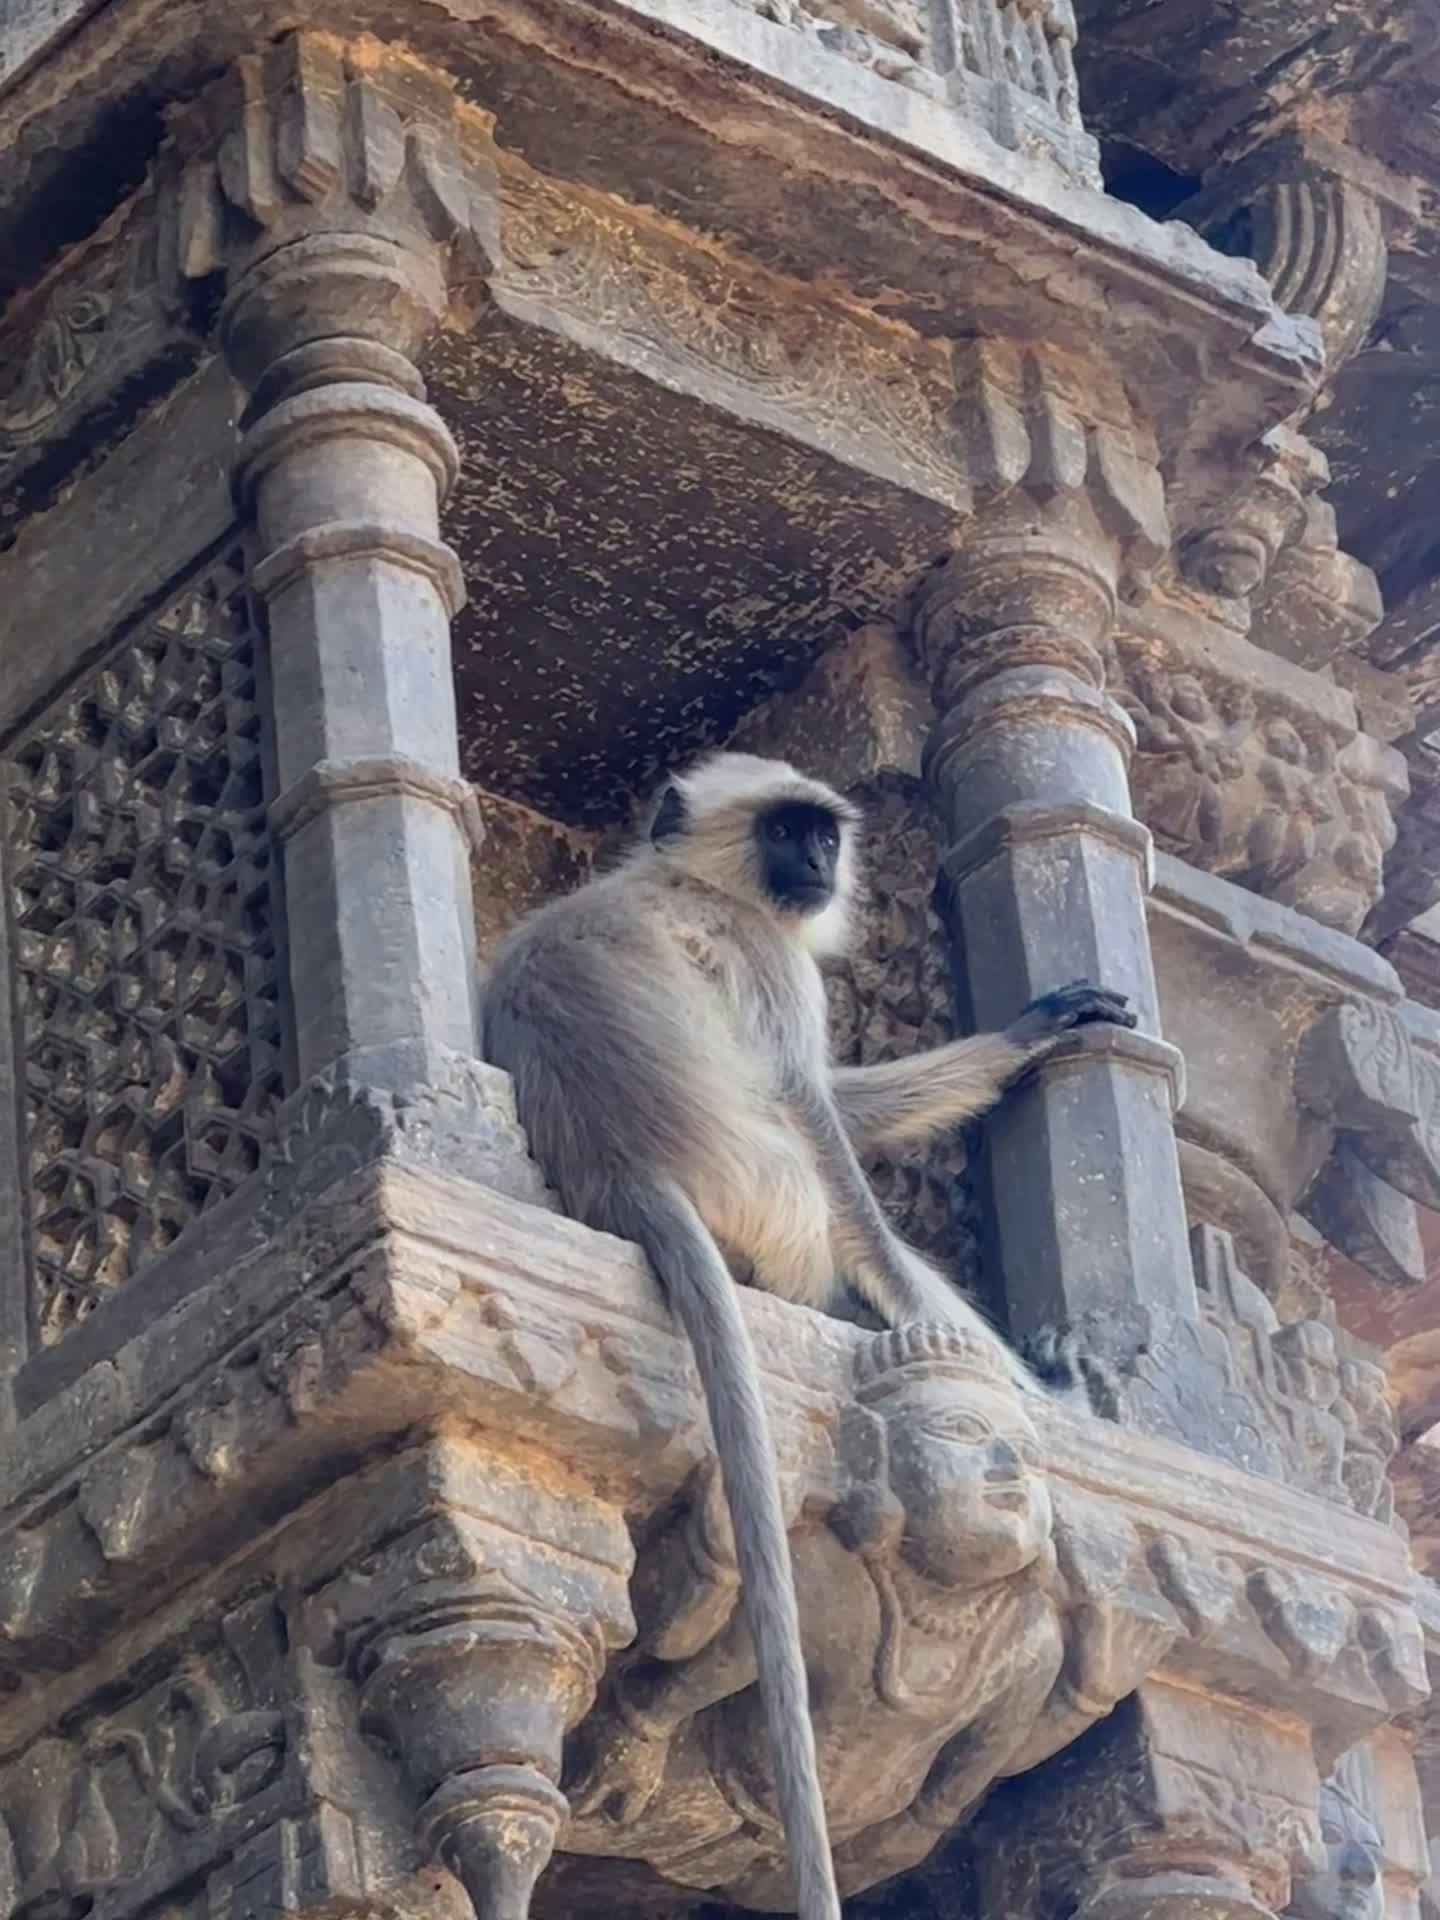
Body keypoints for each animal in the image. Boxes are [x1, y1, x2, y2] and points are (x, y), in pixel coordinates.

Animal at [481, 751, 1136, 1920]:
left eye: (823, 832)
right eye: (788, 831)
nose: (820, 863)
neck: (689, 878)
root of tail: (619, 1167)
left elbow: (838, 1102)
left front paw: (1032, 1035)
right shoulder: (765, 958)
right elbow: (817, 1117)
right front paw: (1009, 1370)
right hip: (769, 1197)